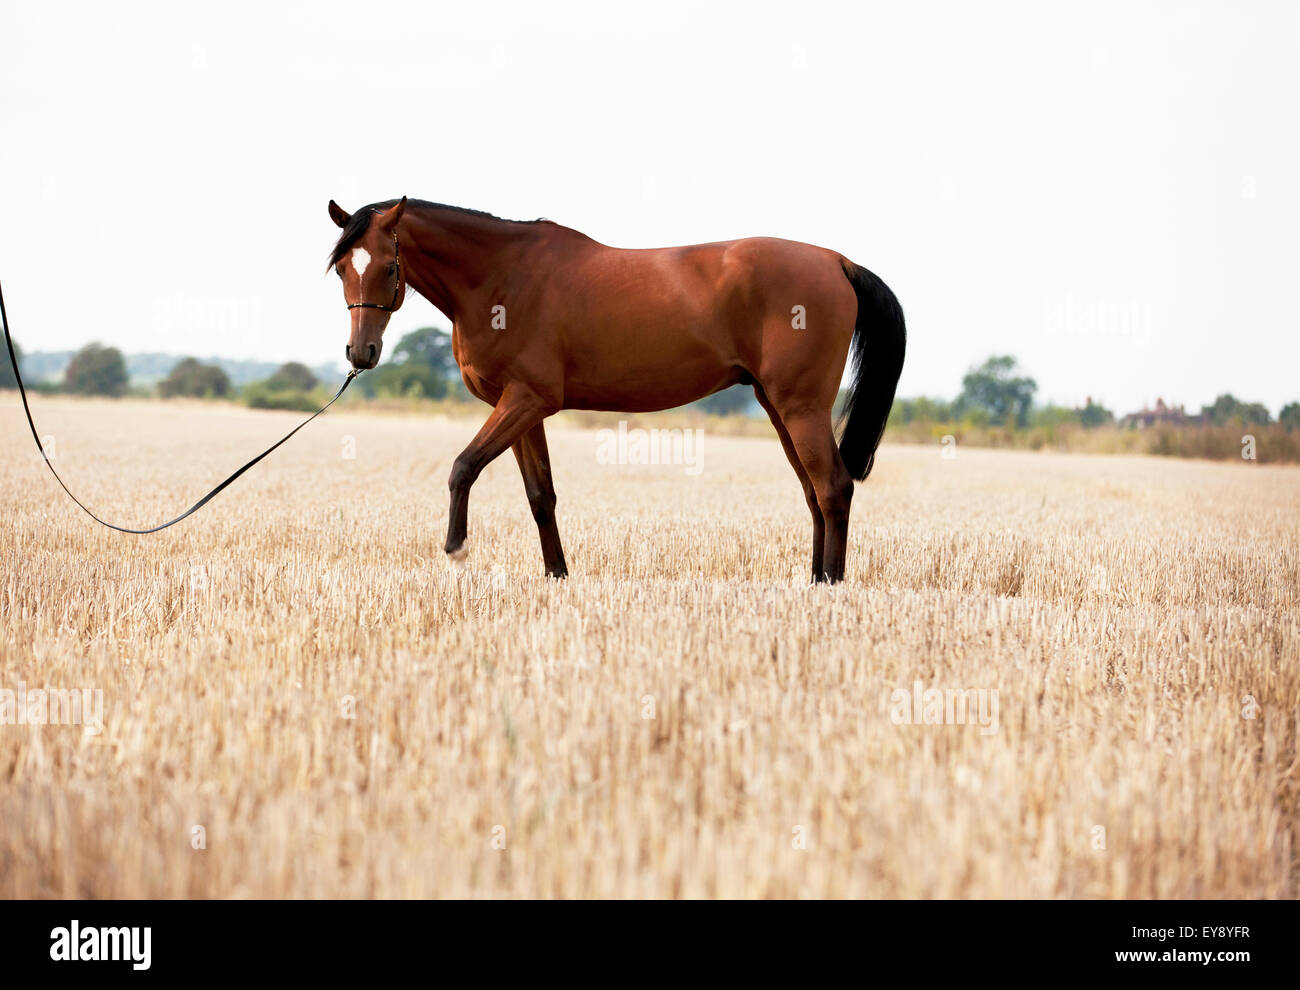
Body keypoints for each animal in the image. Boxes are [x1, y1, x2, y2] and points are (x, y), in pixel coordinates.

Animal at [327, 197, 906, 583]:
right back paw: (814, 582)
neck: (502, 276)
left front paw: (457, 549)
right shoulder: (523, 407)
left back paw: (831, 585)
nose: (361, 354)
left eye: (389, 265)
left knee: (833, 487)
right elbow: (540, 495)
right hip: (777, 406)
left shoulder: (528, 400)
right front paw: (557, 575)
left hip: (801, 407)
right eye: (342, 269)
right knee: (813, 492)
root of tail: (837, 262)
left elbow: (463, 466)